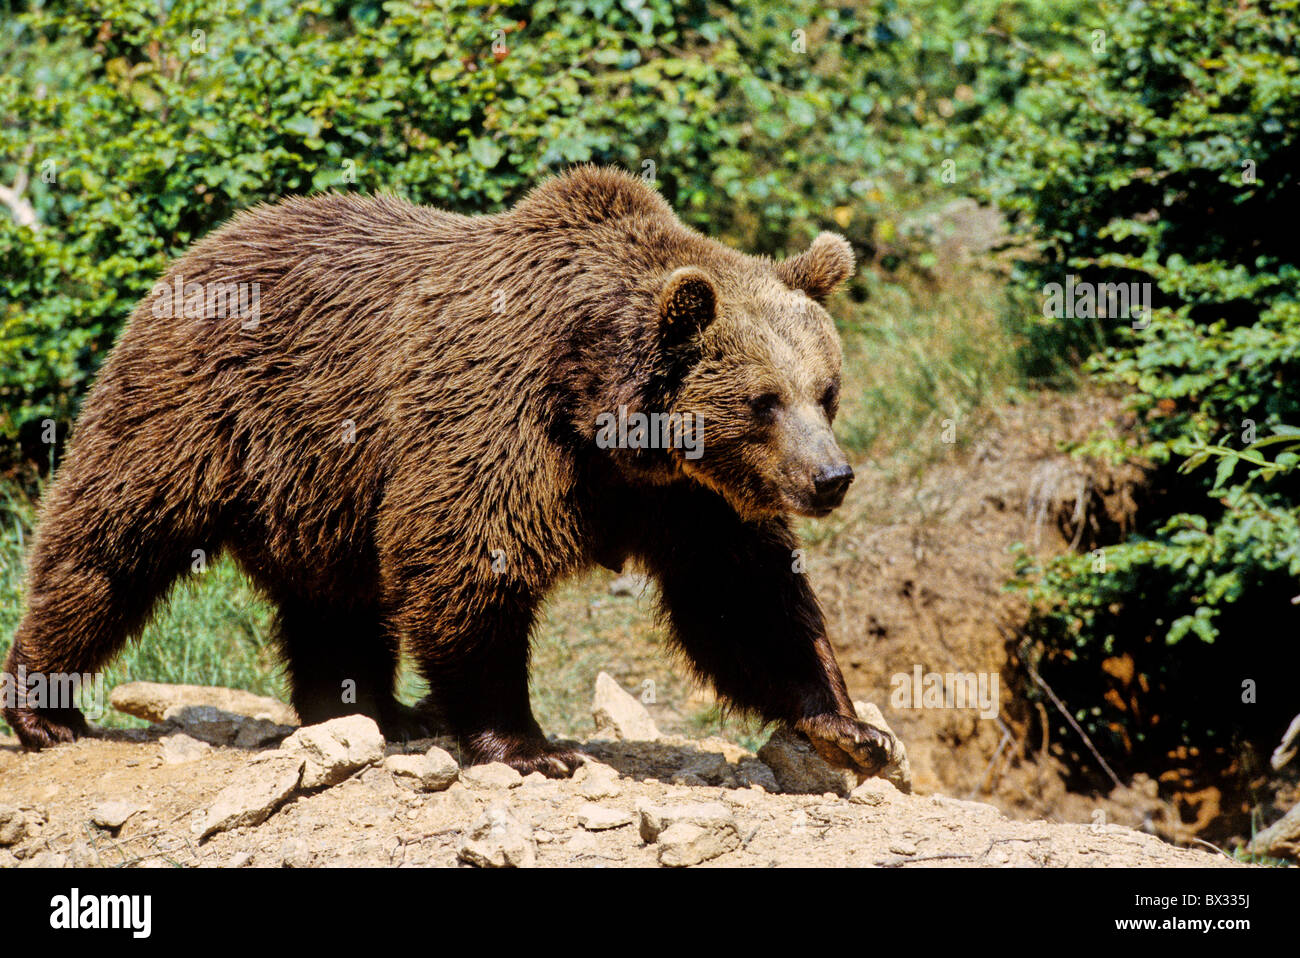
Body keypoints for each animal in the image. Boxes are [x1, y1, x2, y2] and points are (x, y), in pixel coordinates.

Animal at [2, 165, 897, 778]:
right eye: (763, 401)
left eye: (827, 390)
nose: (831, 477)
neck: (607, 420)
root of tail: (215, 237)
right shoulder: (502, 427)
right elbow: (467, 562)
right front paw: (529, 744)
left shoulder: (688, 500)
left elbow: (747, 599)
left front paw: (852, 726)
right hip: (199, 408)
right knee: (109, 541)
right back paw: (46, 707)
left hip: (321, 482)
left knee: (333, 597)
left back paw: (375, 709)